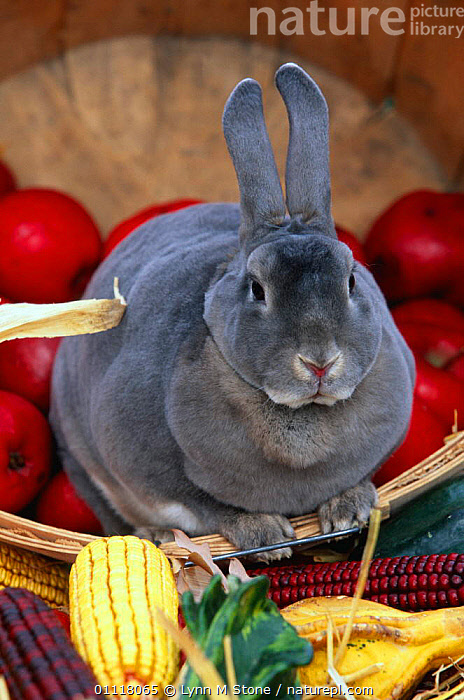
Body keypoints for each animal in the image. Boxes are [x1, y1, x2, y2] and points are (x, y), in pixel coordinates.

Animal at [49, 63, 415, 559]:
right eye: (257, 289)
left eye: (351, 279)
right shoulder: (153, 469)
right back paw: (157, 535)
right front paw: (267, 537)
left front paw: (349, 508)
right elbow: (207, 506)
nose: (319, 362)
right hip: (80, 456)